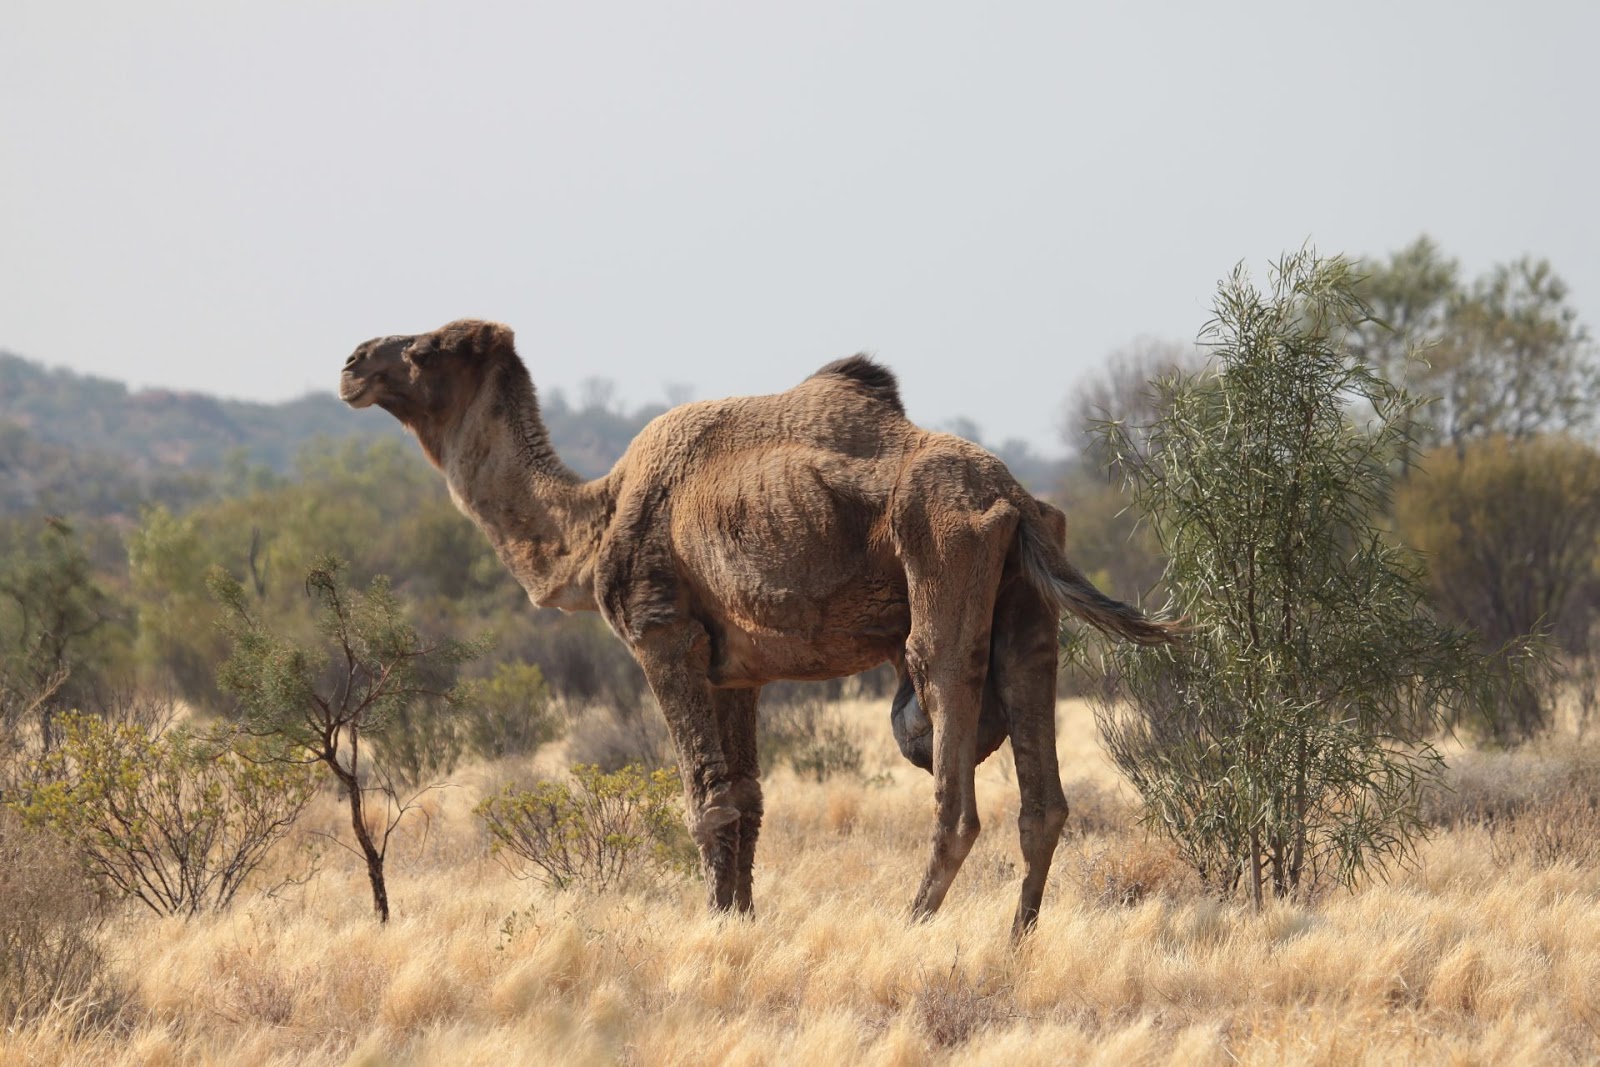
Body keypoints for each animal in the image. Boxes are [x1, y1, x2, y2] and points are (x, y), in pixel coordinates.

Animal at [339, 319, 1176, 939]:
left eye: (423, 348)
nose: (352, 361)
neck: (593, 521)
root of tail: (1014, 498)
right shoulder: (735, 669)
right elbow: (746, 797)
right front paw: (740, 919)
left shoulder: (661, 633)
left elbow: (706, 797)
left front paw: (711, 928)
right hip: (1030, 602)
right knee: (1042, 788)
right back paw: (1016, 938)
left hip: (945, 556)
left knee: (951, 755)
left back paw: (912, 924)